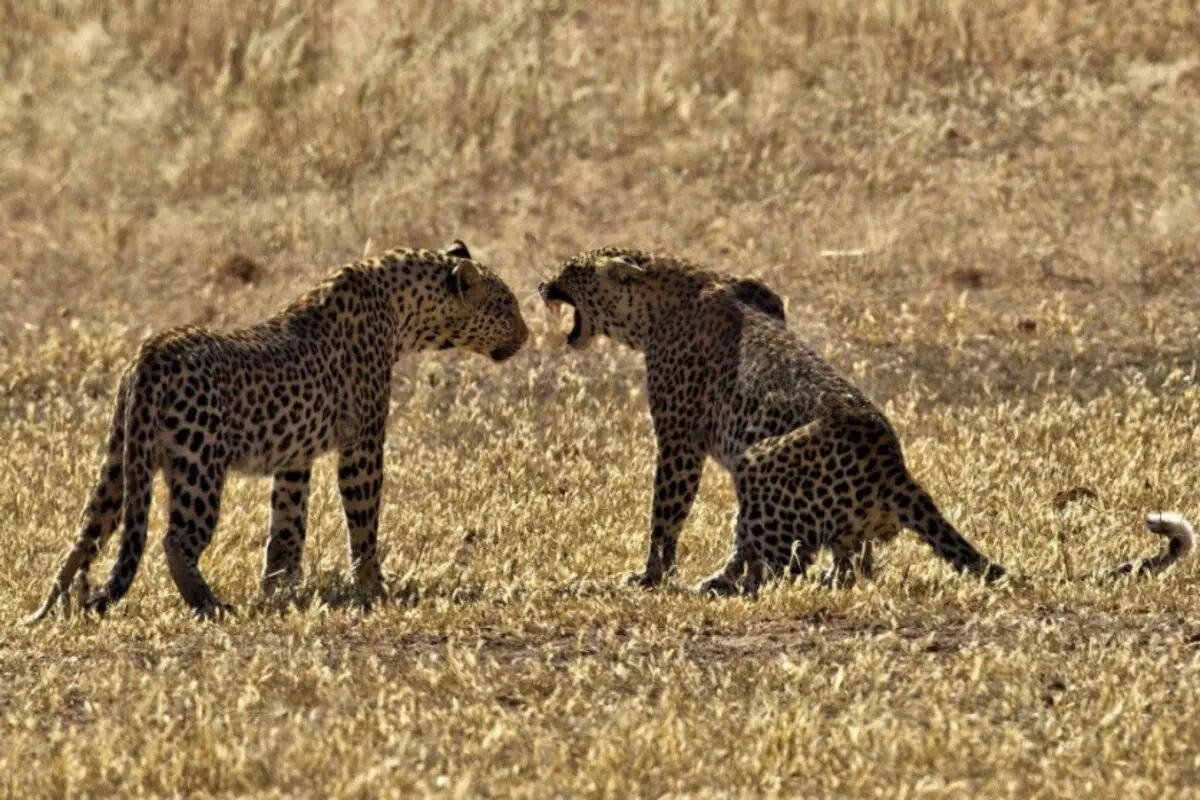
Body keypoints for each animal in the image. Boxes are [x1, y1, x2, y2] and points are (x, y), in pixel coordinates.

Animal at [27, 241, 525, 623]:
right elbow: (363, 520)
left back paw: (46, 609)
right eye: (507, 305)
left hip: (120, 458)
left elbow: (287, 526)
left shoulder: (294, 457)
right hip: (199, 466)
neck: (403, 307)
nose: (525, 335)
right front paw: (372, 587)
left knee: (88, 532)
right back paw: (208, 605)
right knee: (175, 539)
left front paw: (279, 590)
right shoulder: (362, 442)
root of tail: (154, 349)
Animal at [540, 247, 1195, 597]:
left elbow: (667, 509)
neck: (659, 296)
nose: (542, 283)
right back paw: (815, 580)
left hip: (761, 460)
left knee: (775, 557)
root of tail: (895, 470)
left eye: (572, 270)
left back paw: (724, 585)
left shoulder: (679, 437)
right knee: (843, 559)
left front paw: (650, 575)